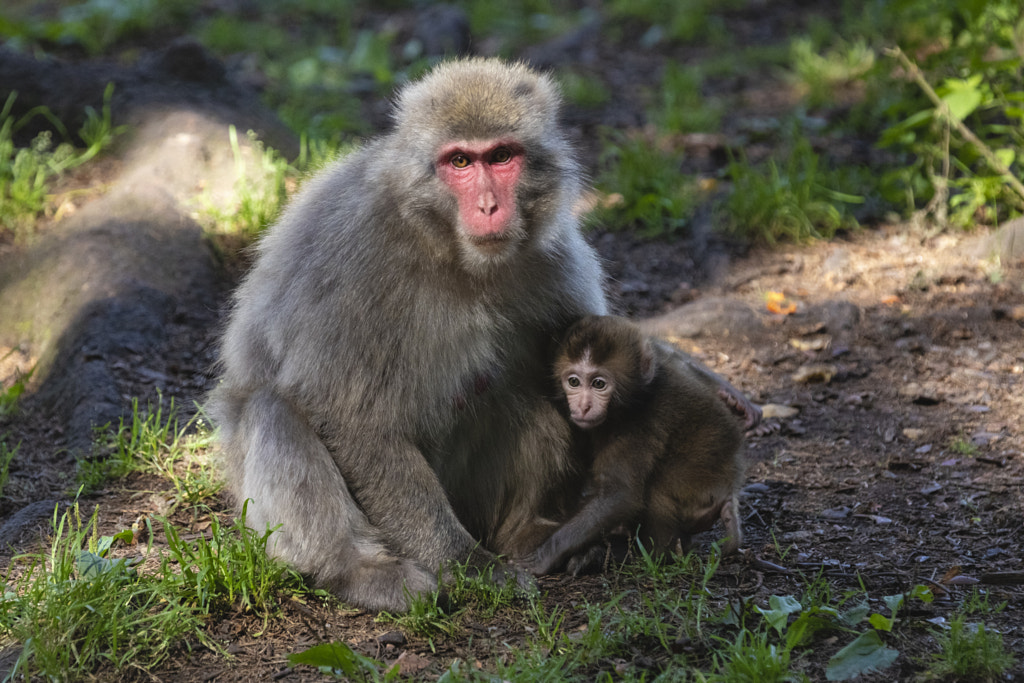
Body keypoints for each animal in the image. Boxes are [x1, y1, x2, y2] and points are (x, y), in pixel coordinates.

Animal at [522, 315, 746, 576]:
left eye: (599, 384)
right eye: (574, 382)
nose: (584, 407)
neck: (634, 399)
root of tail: (729, 487)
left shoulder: (637, 424)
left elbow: (620, 493)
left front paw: (545, 555)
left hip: (700, 487)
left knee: (656, 489)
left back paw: (639, 553)